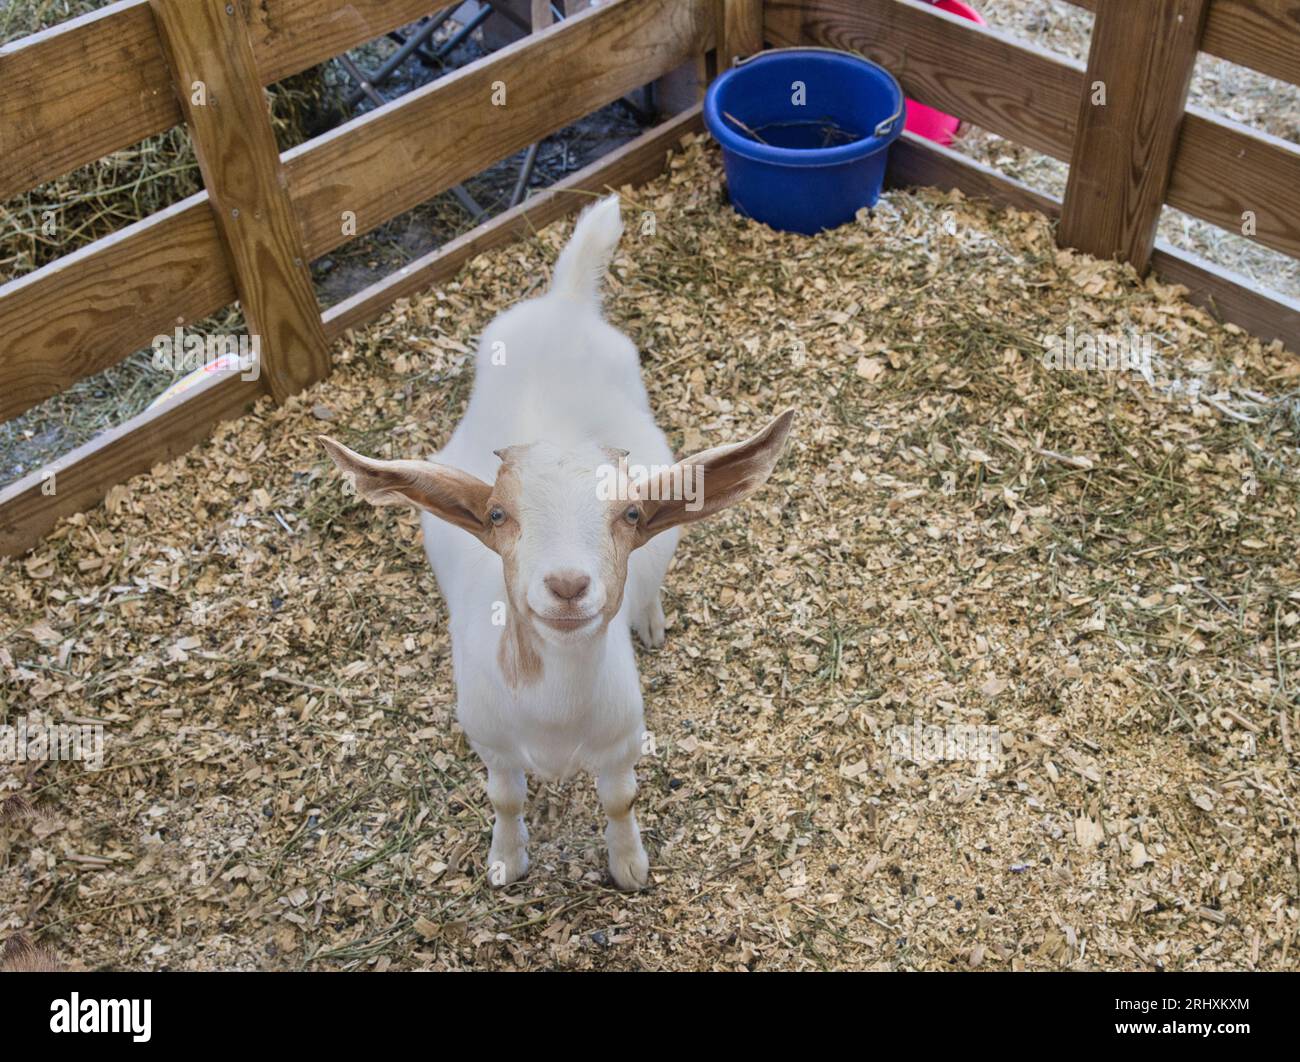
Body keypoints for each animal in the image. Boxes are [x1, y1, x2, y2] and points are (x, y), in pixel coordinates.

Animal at [320, 195, 792, 890]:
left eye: (631, 512)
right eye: (496, 513)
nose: (568, 584)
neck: (555, 720)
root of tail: (566, 301)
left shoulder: (622, 741)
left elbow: (620, 800)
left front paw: (628, 867)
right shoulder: (491, 743)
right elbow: (504, 798)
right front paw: (506, 861)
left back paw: (651, 622)